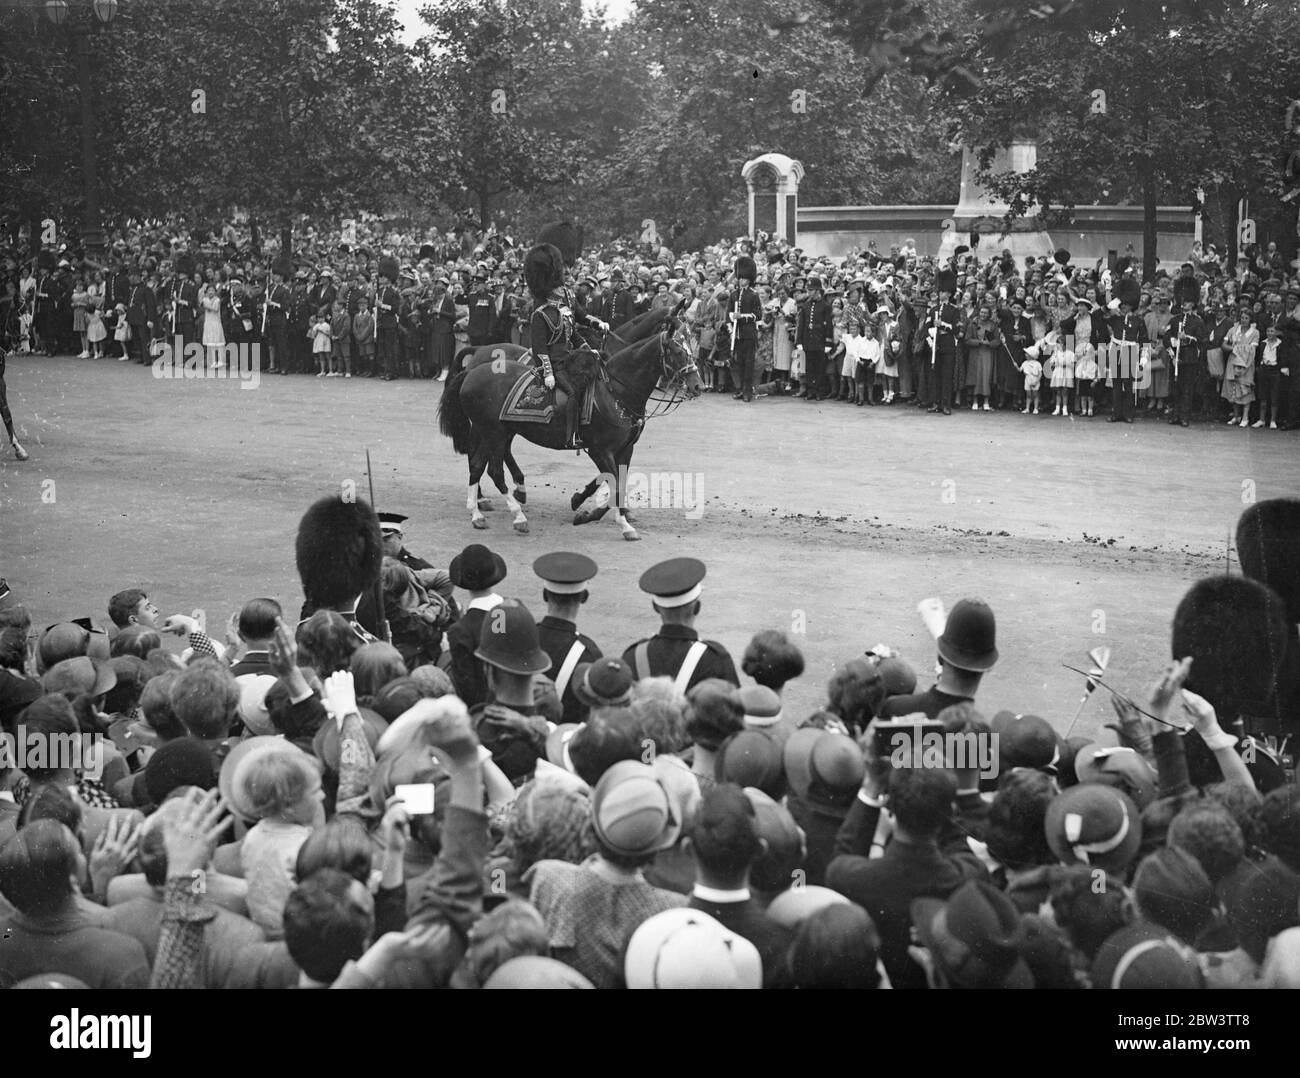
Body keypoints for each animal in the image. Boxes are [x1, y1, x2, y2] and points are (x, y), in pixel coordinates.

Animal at [436, 326, 702, 538]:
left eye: (692, 349)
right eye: (678, 352)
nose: (698, 385)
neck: (615, 392)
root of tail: (472, 371)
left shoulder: (625, 449)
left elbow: (618, 482)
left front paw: (585, 505)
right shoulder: (599, 449)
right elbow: (614, 482)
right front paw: (613, 521)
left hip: (493, 432)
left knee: (478, 465)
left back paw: (478, 512)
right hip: (493, 432)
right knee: (492, 469)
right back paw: (516, 515)